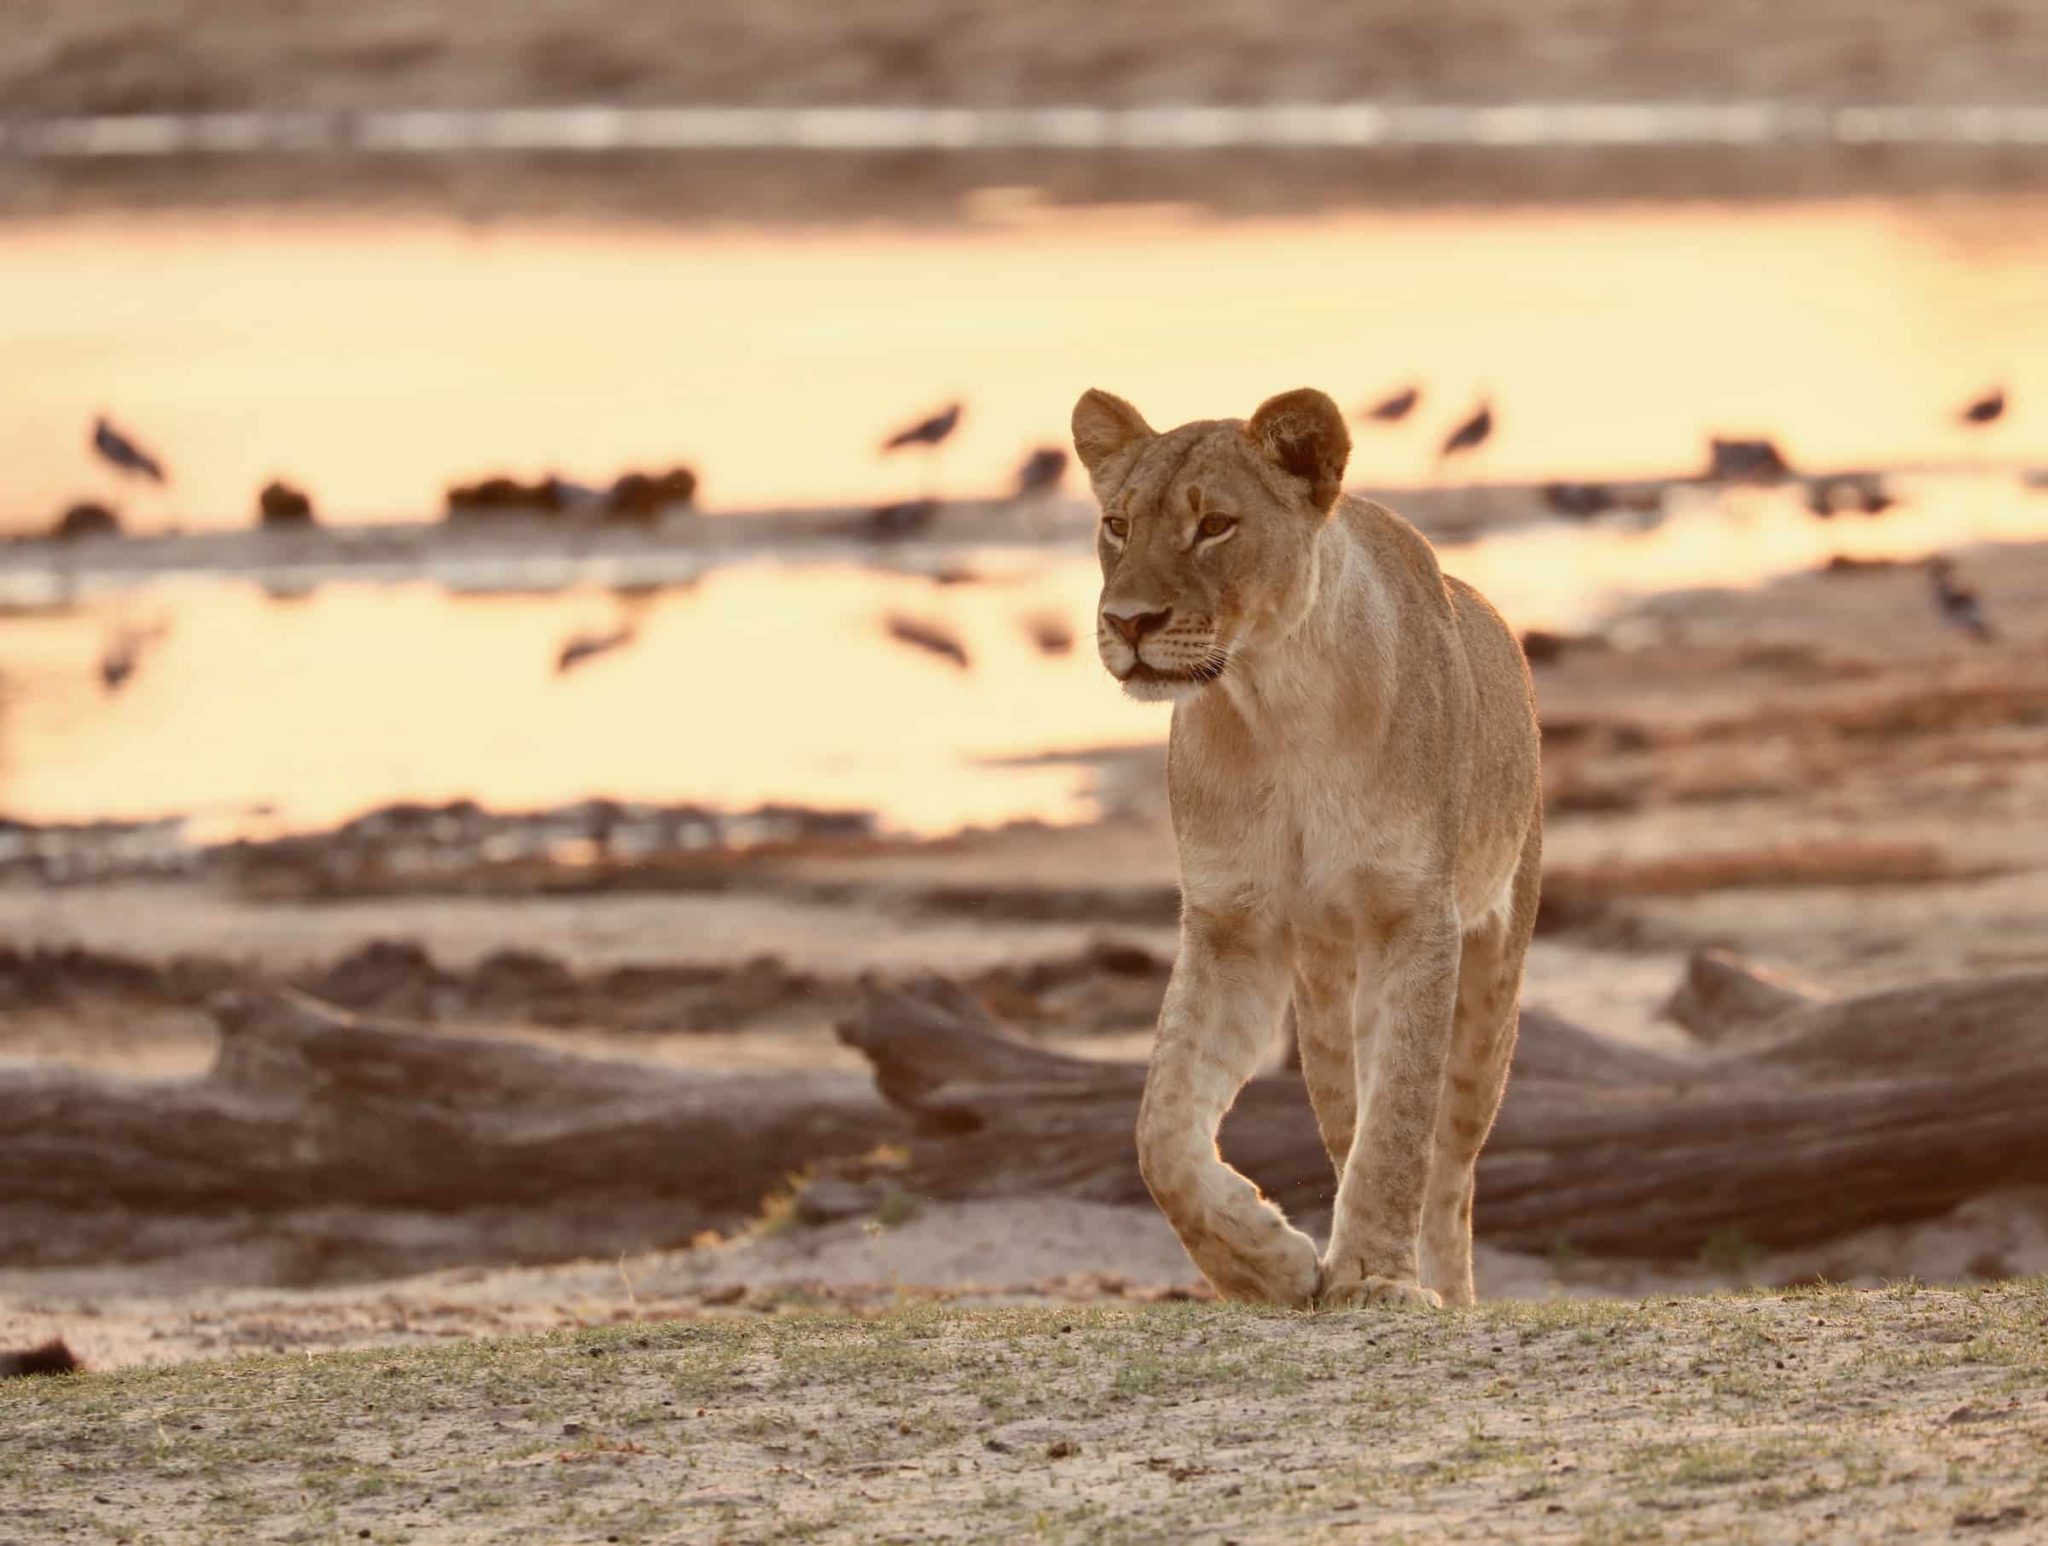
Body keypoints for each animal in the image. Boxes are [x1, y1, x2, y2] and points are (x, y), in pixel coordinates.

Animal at [1072, 385, 1541, 1309]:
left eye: (1216, 524)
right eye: (1117, 523)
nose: (1128, 623)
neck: (1273, 702)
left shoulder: (1413, 916)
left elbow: (1400, 1122)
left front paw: (1375, 1275)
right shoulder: (1233, 924)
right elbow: (1162, 1127)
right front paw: (1264, 1262)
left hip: (1492, 980)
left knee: (1452, 1173)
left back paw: (1449, 1290)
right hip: (1321, 1002)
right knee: (1343, 1121)